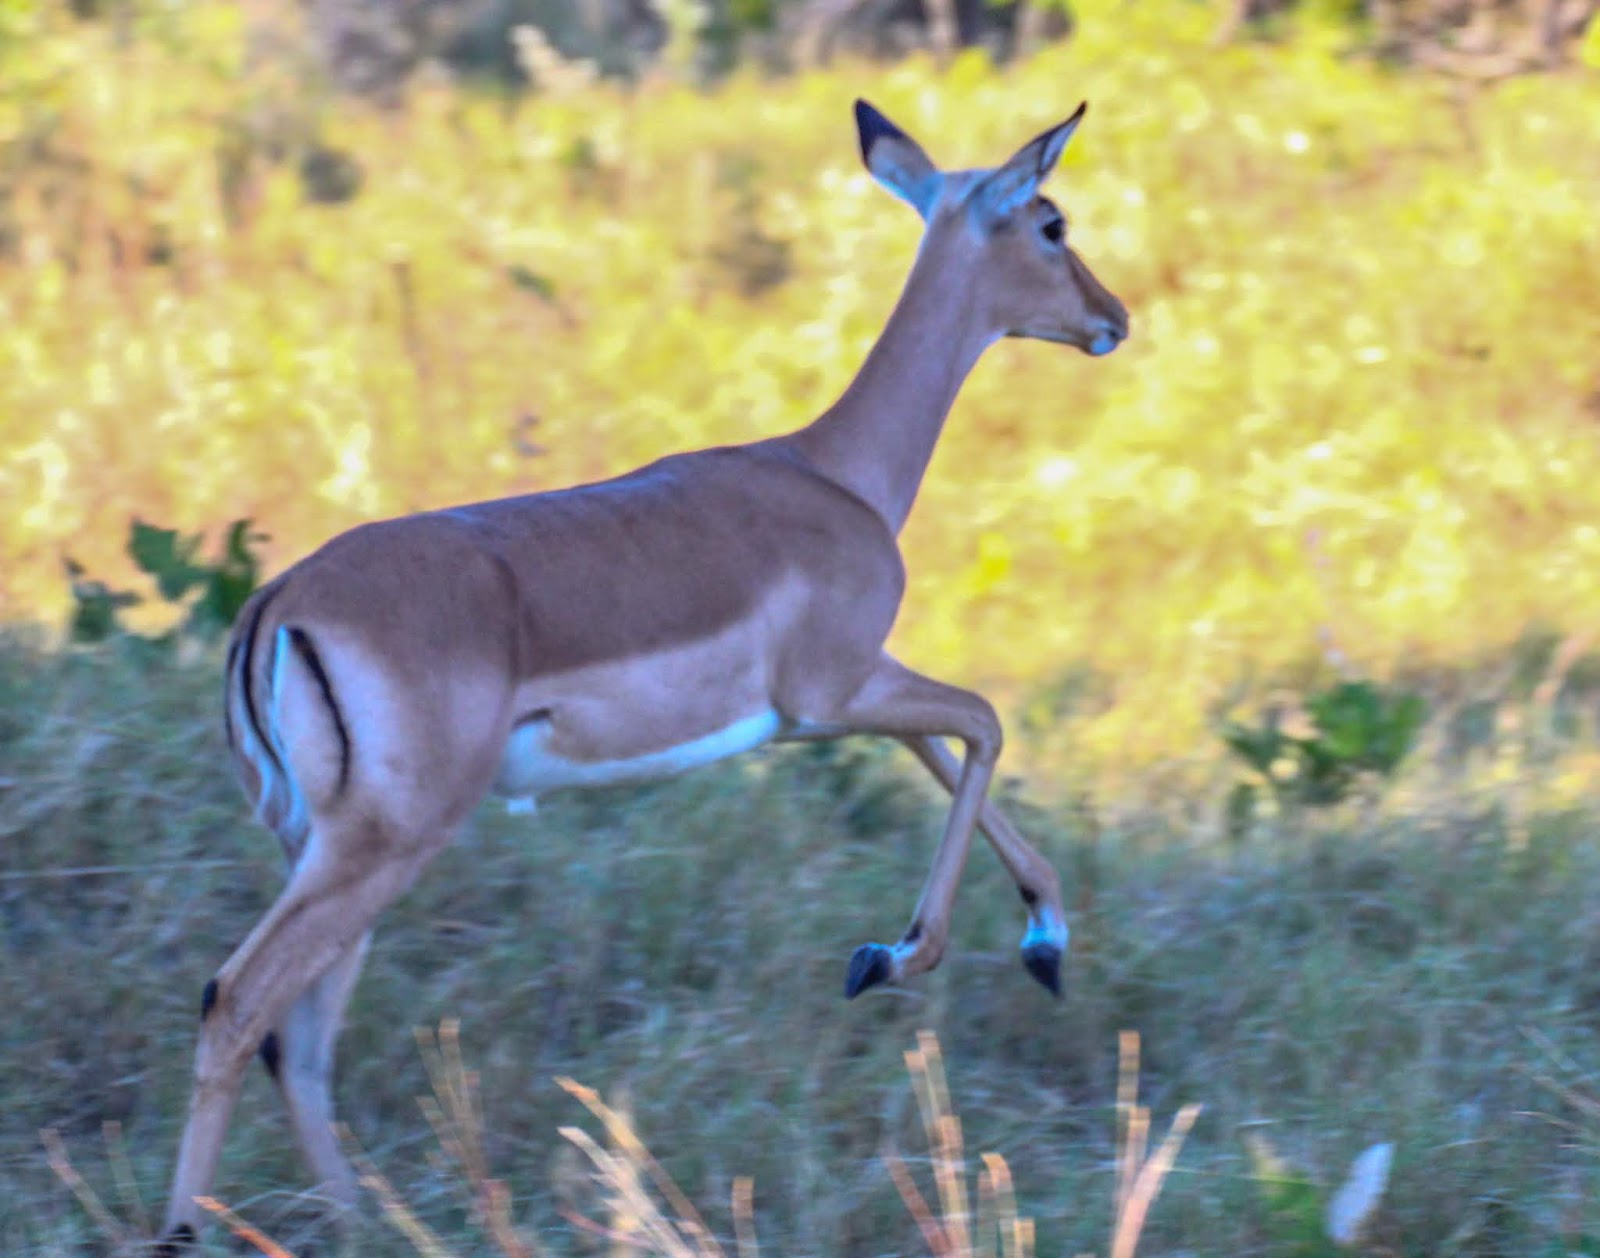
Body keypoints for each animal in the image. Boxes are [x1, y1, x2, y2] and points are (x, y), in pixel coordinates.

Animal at [156, 98, 1128, 1250]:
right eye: (1053, 223)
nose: (1113, 317)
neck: (834, 474)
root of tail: (279, 603)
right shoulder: (833, 693)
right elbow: (981, 722)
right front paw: (902, 956)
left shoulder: (838, 699)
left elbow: (949, 747)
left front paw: (1037, 939)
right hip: (383, 844)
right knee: (239, 1002)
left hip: (327, 846)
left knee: (296, 1039)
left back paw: (366, 1222)